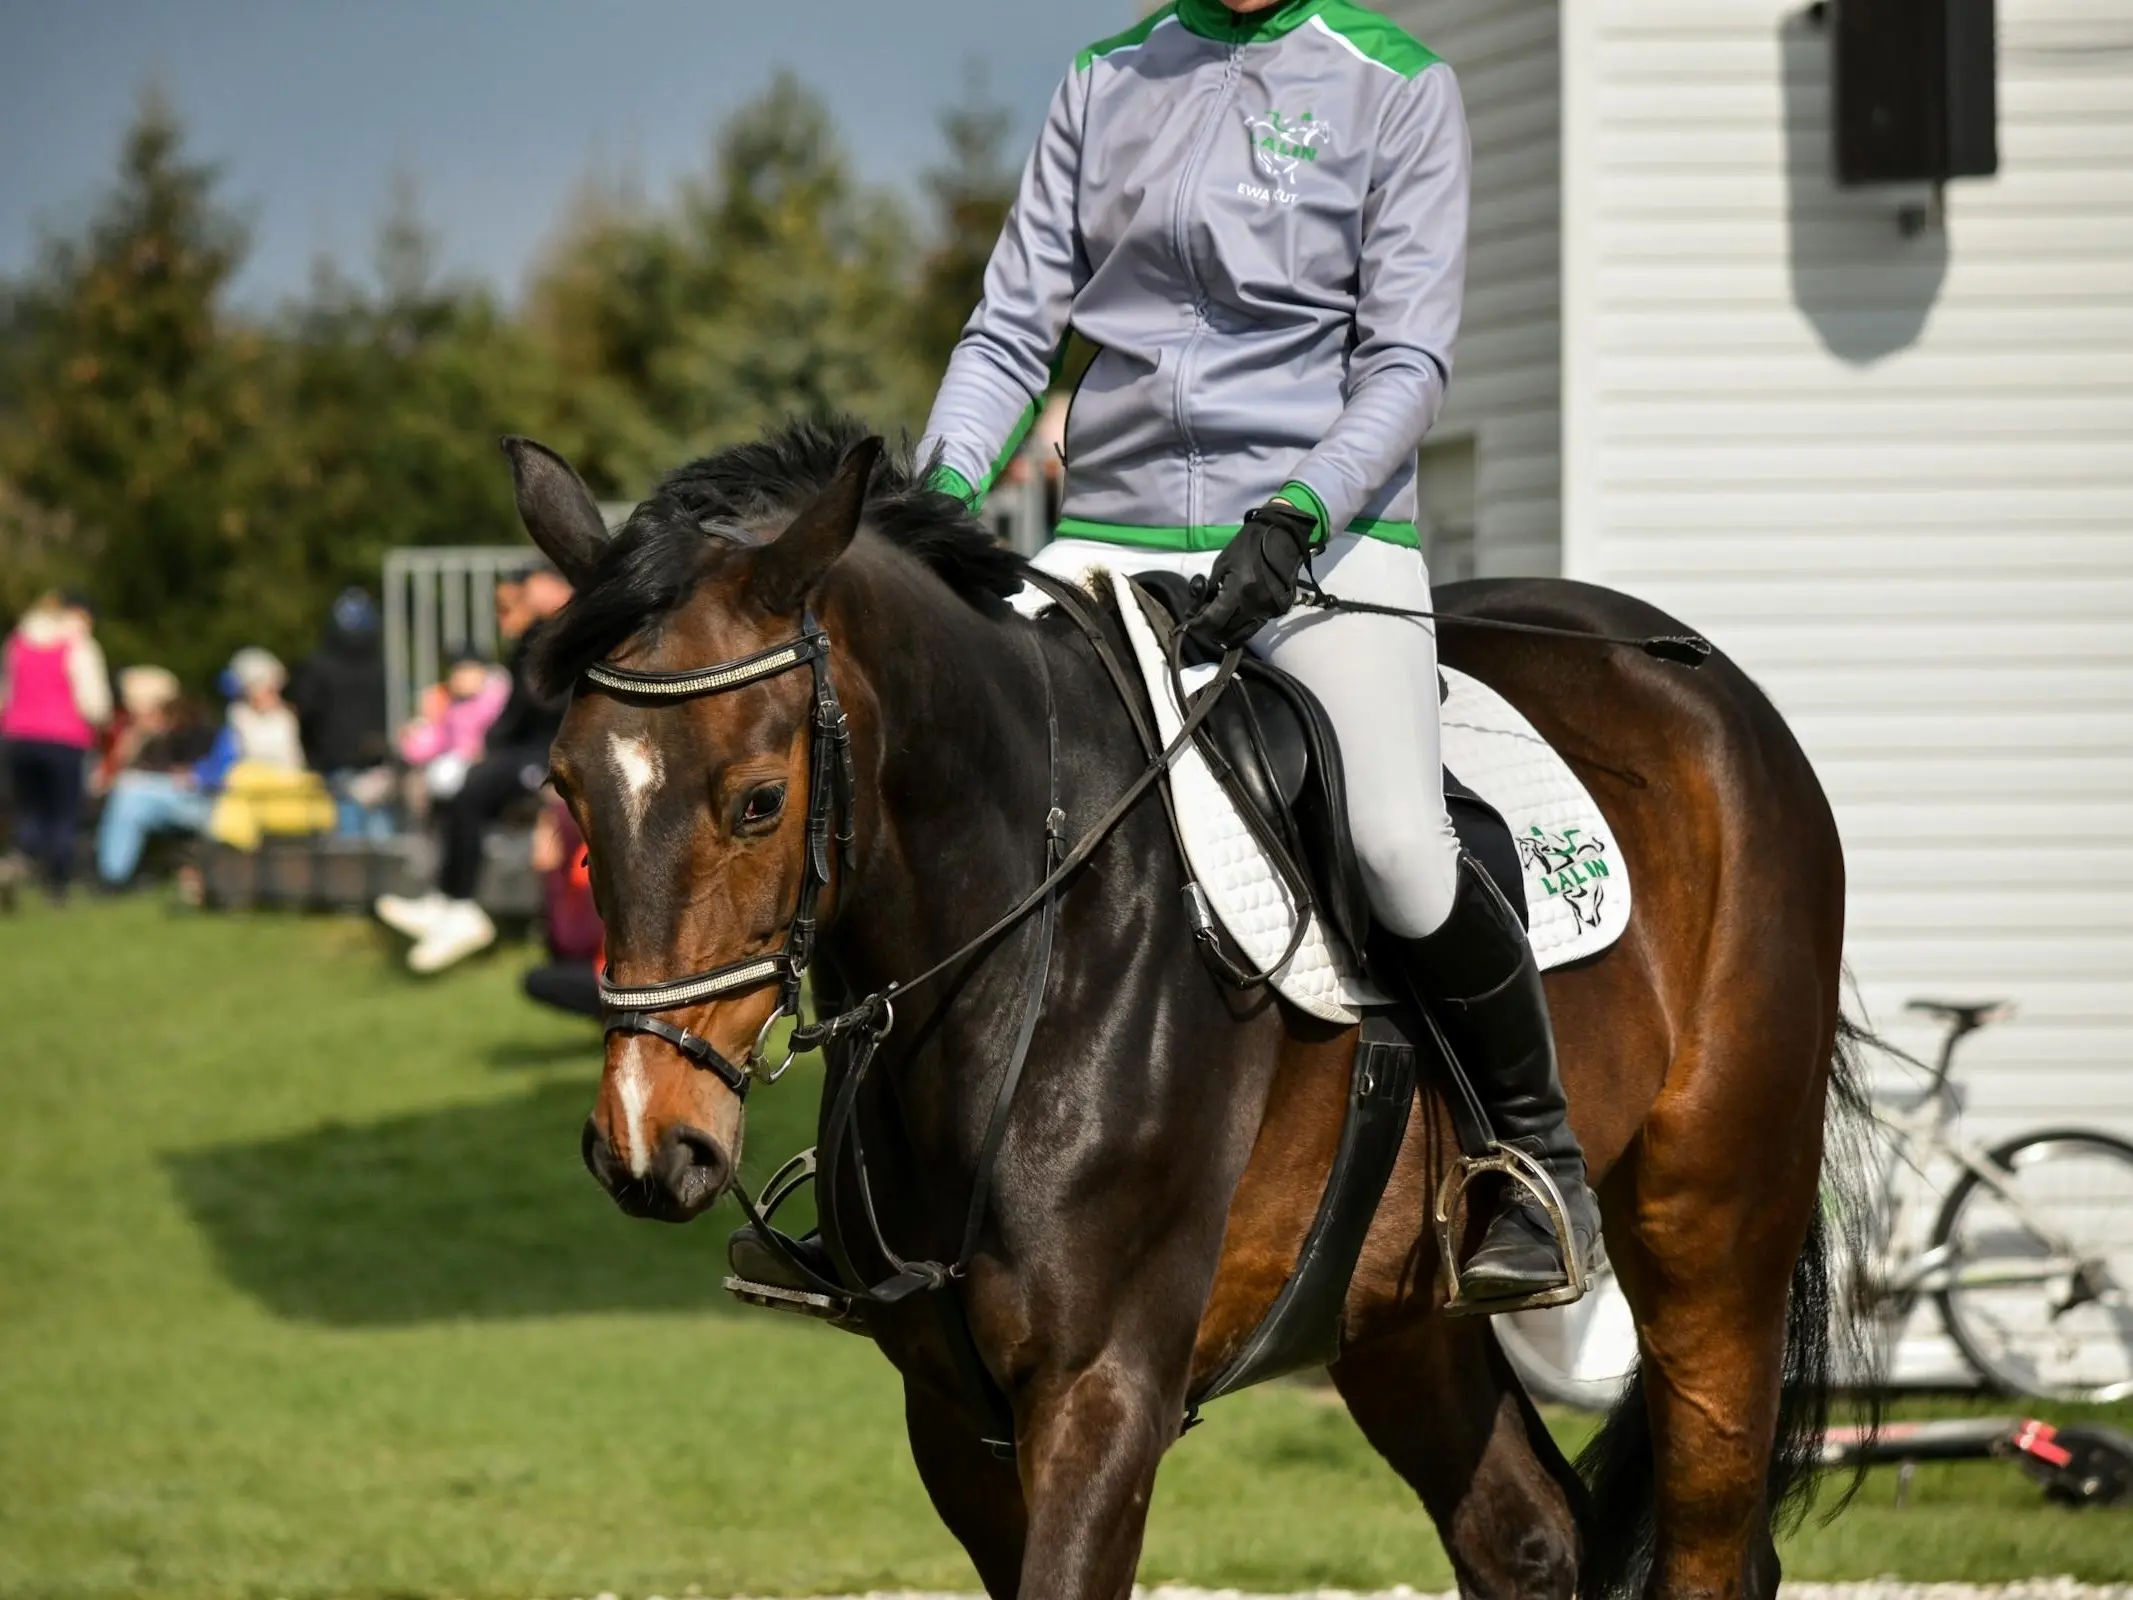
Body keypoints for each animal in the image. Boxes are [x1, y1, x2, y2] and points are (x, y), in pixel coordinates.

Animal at [505, 417, 1863, 1600]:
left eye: (758, 799)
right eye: (567, 788)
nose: (647, 1143)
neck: (1029, 937)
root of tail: (1704, 678)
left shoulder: (1103, 1390)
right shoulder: (953, 1416)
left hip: (1713, 1220)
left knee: (1711, 1546)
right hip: (1397, 1307)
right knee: (1528, 1541)